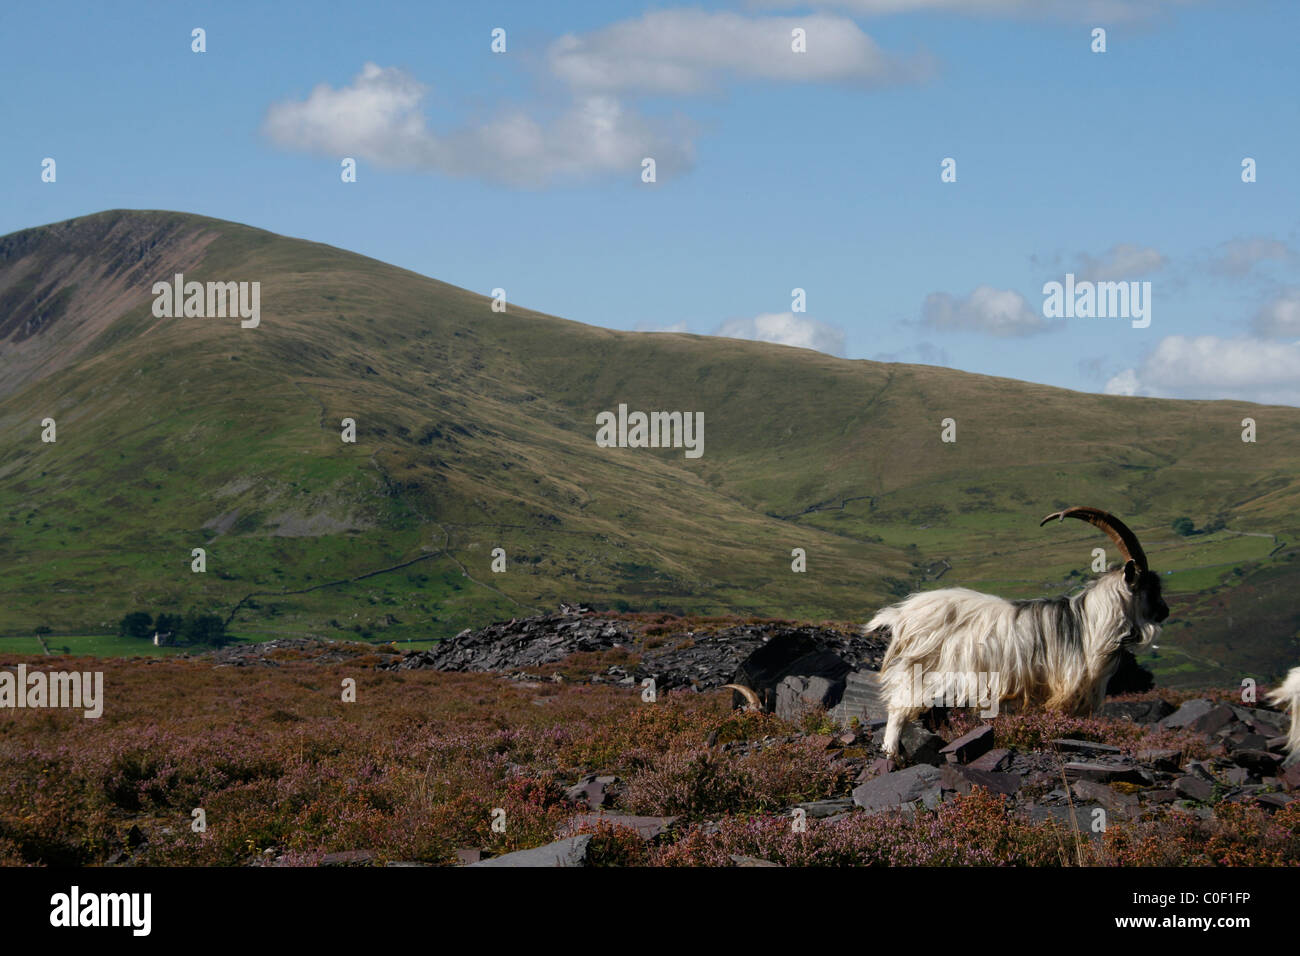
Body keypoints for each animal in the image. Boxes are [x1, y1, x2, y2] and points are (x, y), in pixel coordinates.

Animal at [866, 507, 1169, 760]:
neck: (1089, 625)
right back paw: (892, 753)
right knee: (898, 708)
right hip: (920, 669)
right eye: (1151, 587)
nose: (1165, 611)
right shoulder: (1067, 690)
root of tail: (902, 615)